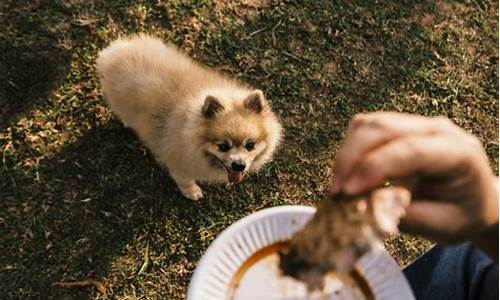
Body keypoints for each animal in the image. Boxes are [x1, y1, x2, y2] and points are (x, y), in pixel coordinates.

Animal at [94, 34, 282, 199]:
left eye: (250, 145)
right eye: (223, 146)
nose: (239, 165)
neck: (190, 130)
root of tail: (113, 52)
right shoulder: (179, 163)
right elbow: (184, 180)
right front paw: (192, 192)